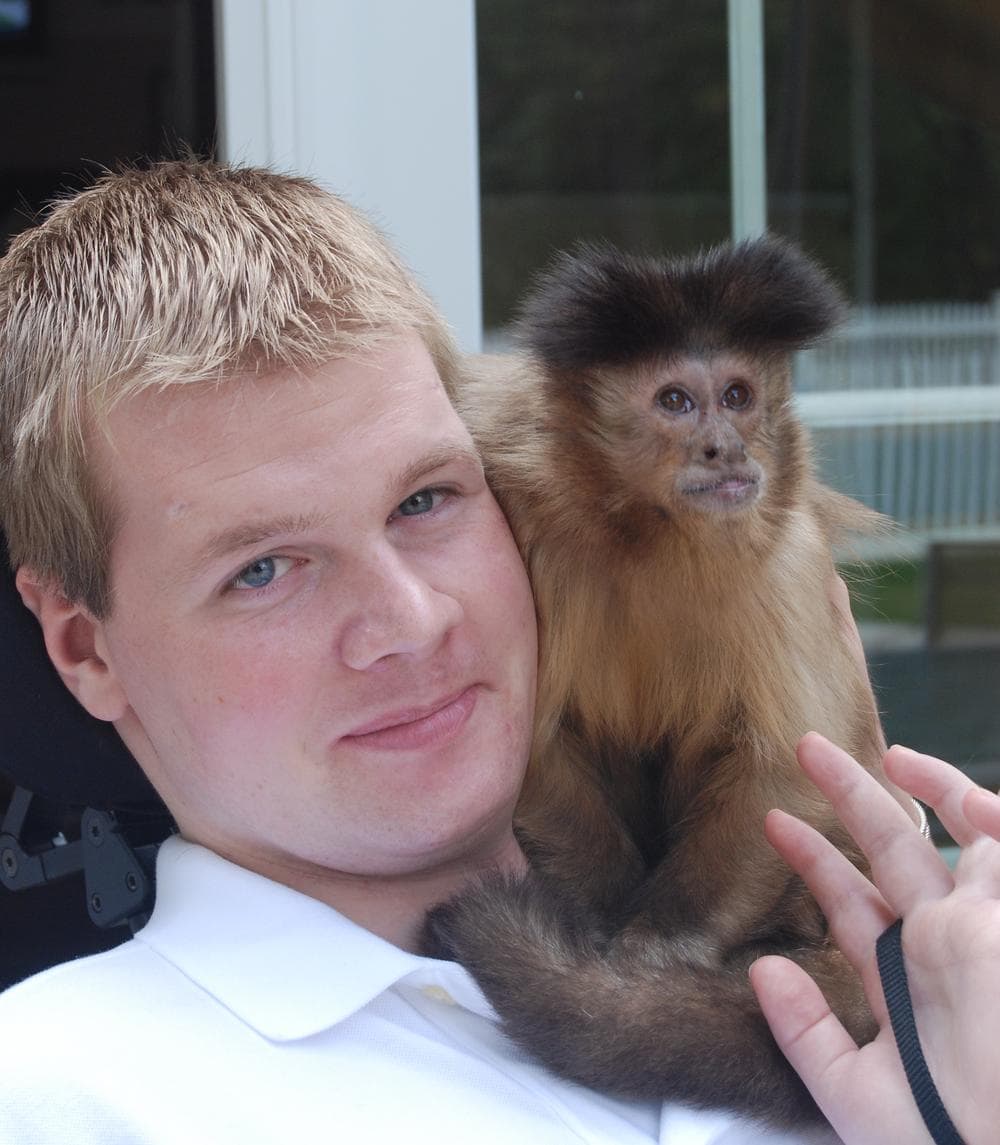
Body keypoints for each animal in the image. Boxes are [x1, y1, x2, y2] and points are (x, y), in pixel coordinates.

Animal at [421, 237, 902, 1128]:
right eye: (676, 400)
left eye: (738, 396)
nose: (726, 448)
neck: (646, 530)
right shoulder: (513, 493)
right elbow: (529, 751)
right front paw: (603, 934)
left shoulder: (784, 556)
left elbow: (784, 772)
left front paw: (647, 952)